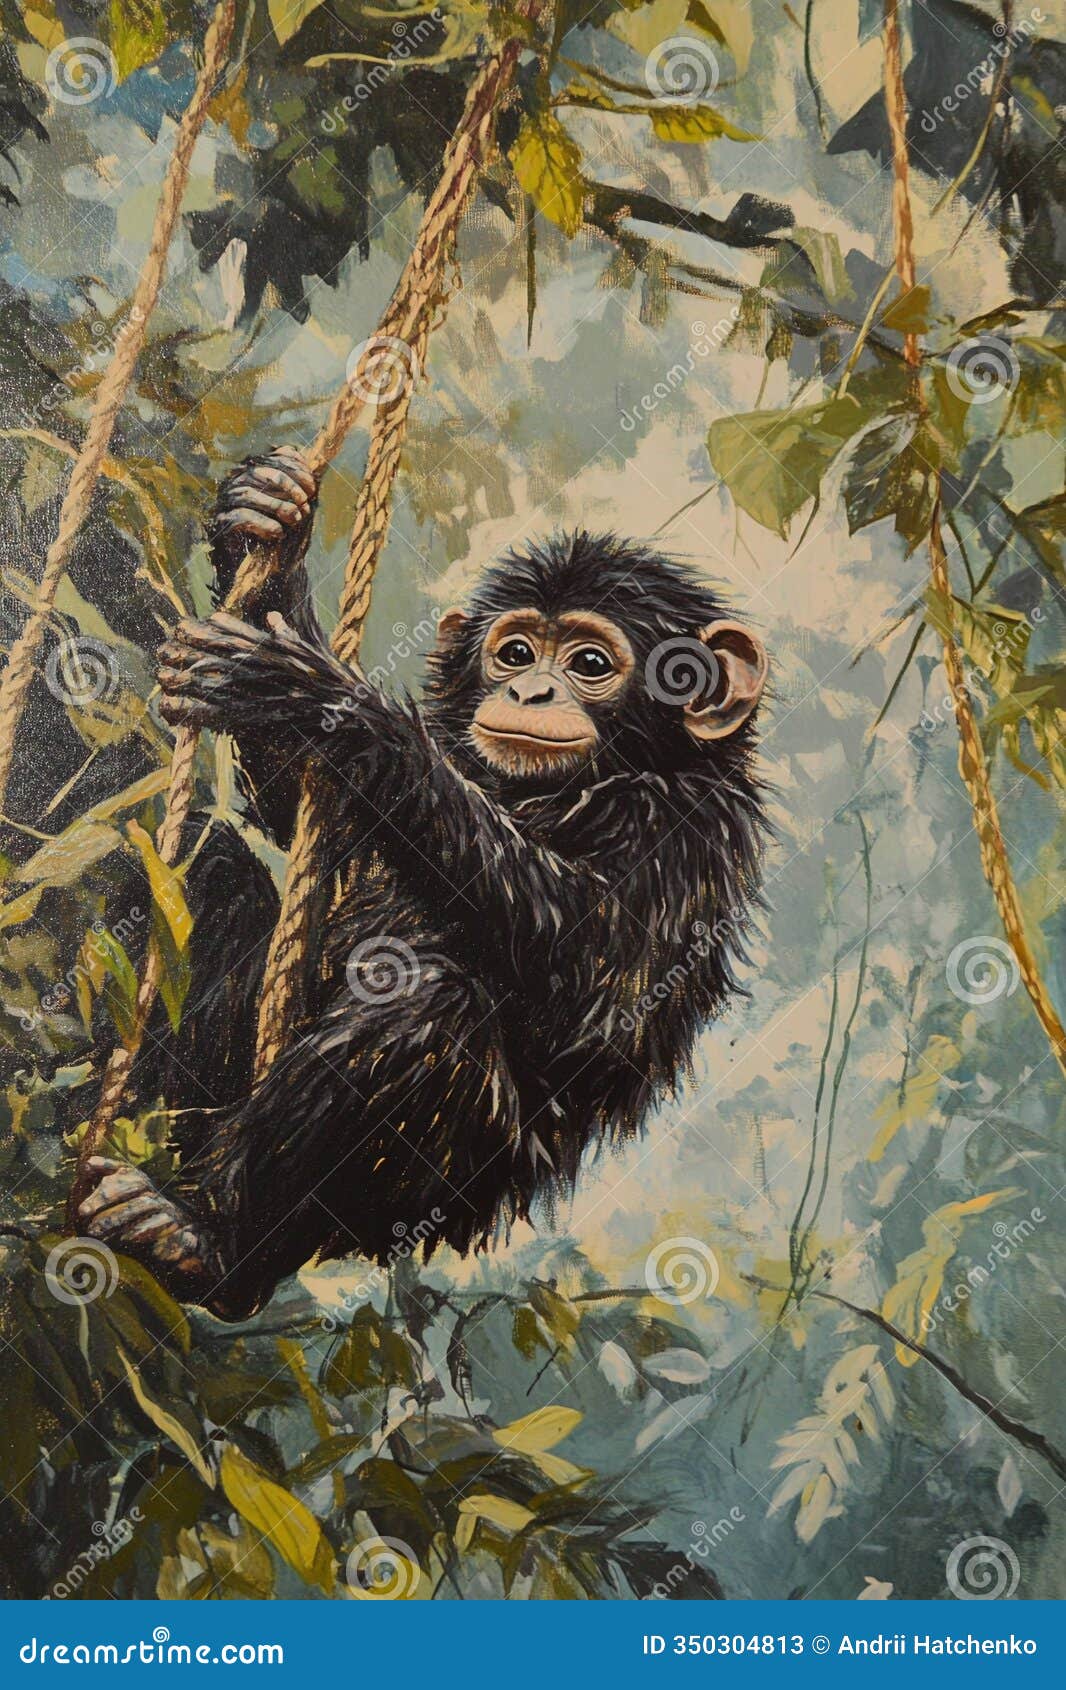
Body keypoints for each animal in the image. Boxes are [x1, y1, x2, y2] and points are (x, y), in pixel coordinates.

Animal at [79, 450, 769, 1320]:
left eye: (589, 664)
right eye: (515, 653)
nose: (530, 692)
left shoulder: (685, 831)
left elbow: (587, 953)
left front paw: (311, 693)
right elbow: (312, 819)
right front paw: (263, 520)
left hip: (421, 1198)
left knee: (419, 1011)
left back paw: (208, 1245)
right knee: (211, 869)